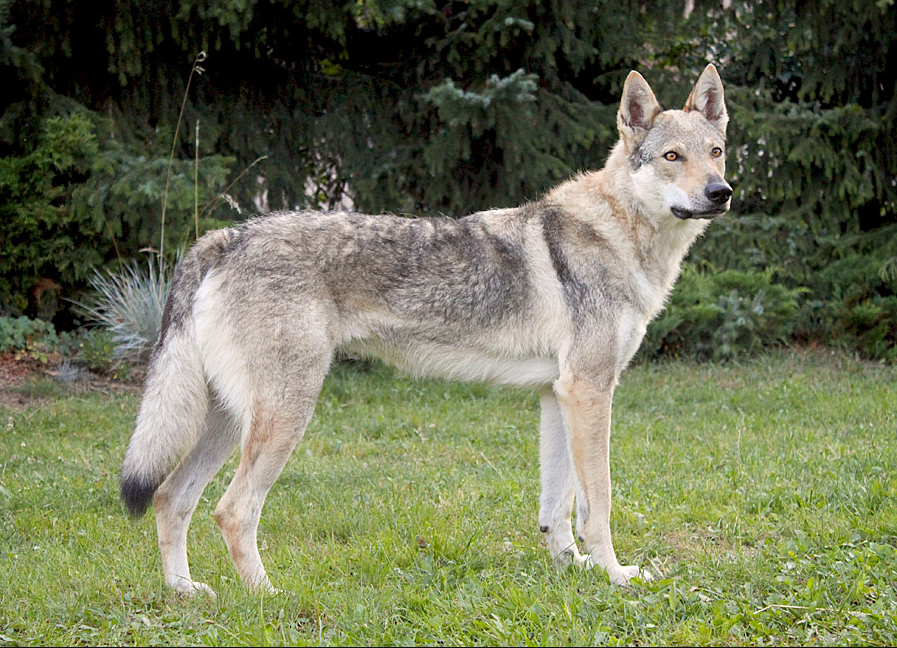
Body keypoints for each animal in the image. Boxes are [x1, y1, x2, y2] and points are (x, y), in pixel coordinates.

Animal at [120, 64, 732, 596]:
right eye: (672, 156)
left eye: (716, 152)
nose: (720, 193)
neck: (621, 234)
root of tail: (228, 236)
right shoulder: (590, 392)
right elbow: (597, 504)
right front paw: (615, 577)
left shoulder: (558, 395)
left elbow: (556, 509)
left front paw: (571, 570)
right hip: (284, 414)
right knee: (232, 511)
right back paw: (267, 597)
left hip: (229, 420)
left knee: (170, 498)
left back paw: (184, 592)